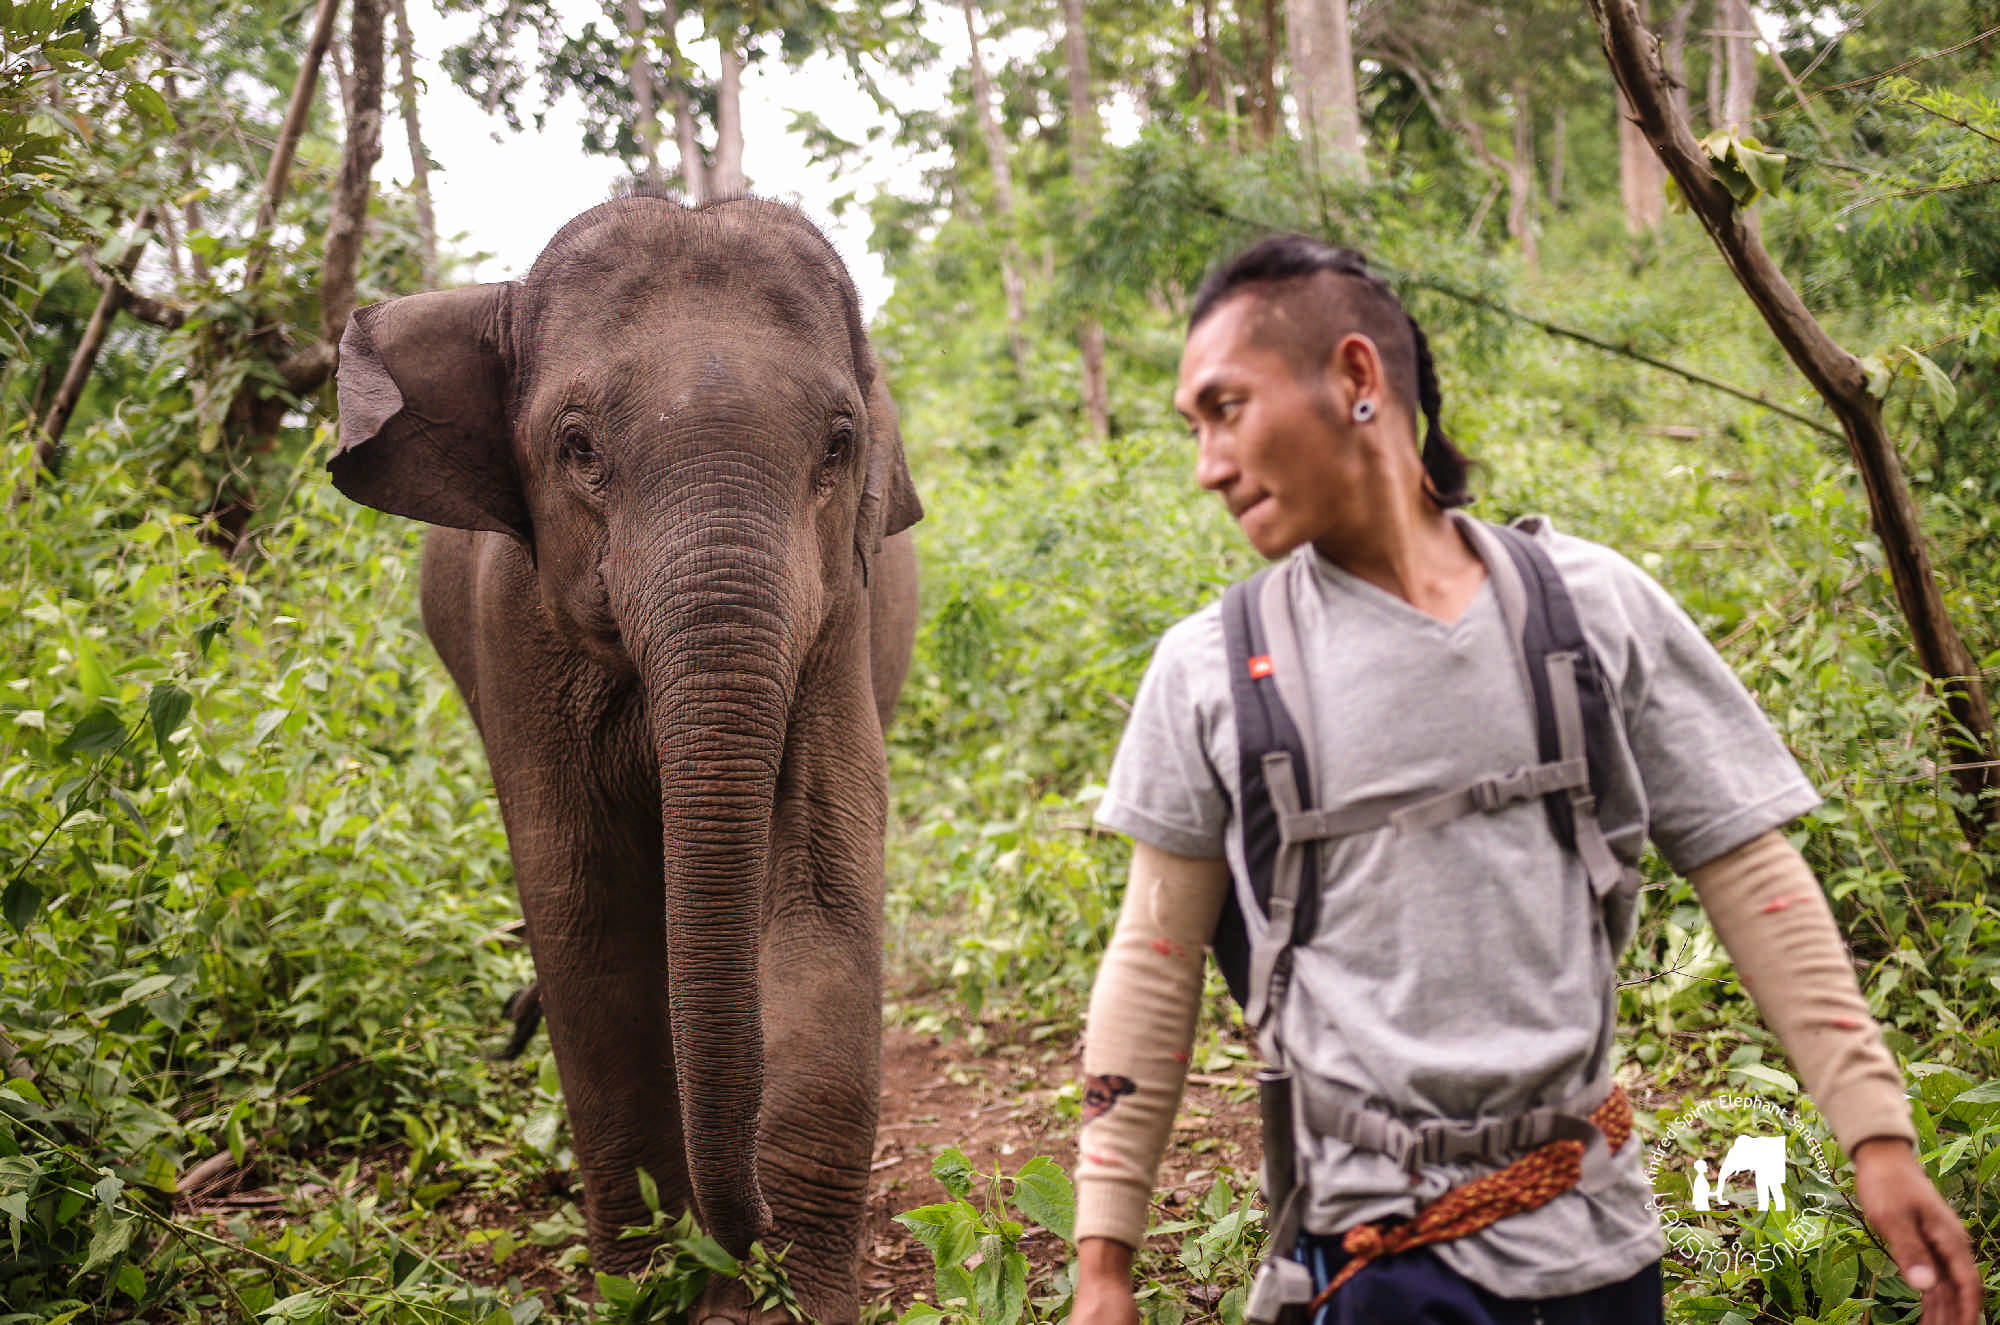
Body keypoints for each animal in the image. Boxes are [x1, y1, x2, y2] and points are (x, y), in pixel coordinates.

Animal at [328, 194, 922, 1323]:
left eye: (839, 443)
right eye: (576, 445)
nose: (748, 1233)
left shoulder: (841, 610)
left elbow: (820, 873)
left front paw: (790, 1295)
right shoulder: (512, 628)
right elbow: (581, 897)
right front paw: (648, 1283)